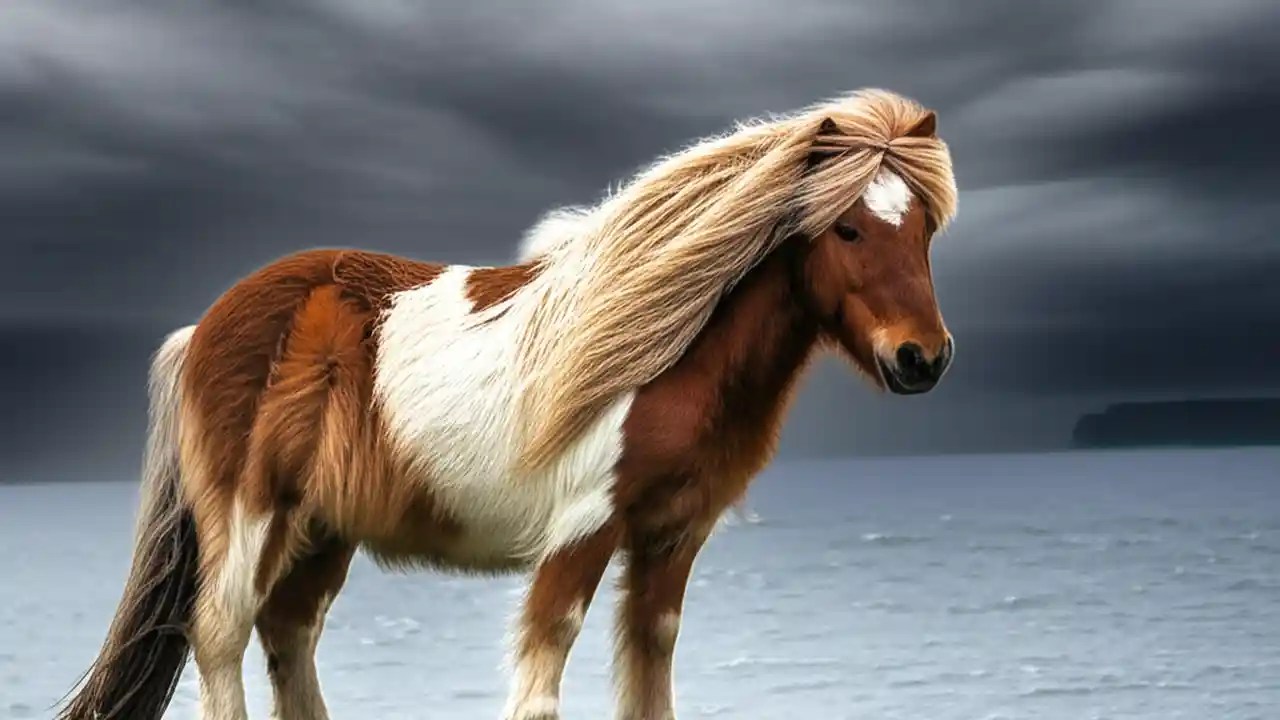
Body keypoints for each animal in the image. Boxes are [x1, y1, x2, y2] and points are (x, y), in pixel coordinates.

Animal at [58, 87, 958, 720]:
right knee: (220, 637)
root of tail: (205, 326)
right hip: (252, 517)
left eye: (923, 229)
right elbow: (544, 674)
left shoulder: (673, 538)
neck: (659, 342)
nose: (923, 359)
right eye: (846, 229)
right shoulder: (584, 528)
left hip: (321, 530)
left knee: (290, 637)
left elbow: (651, 677)